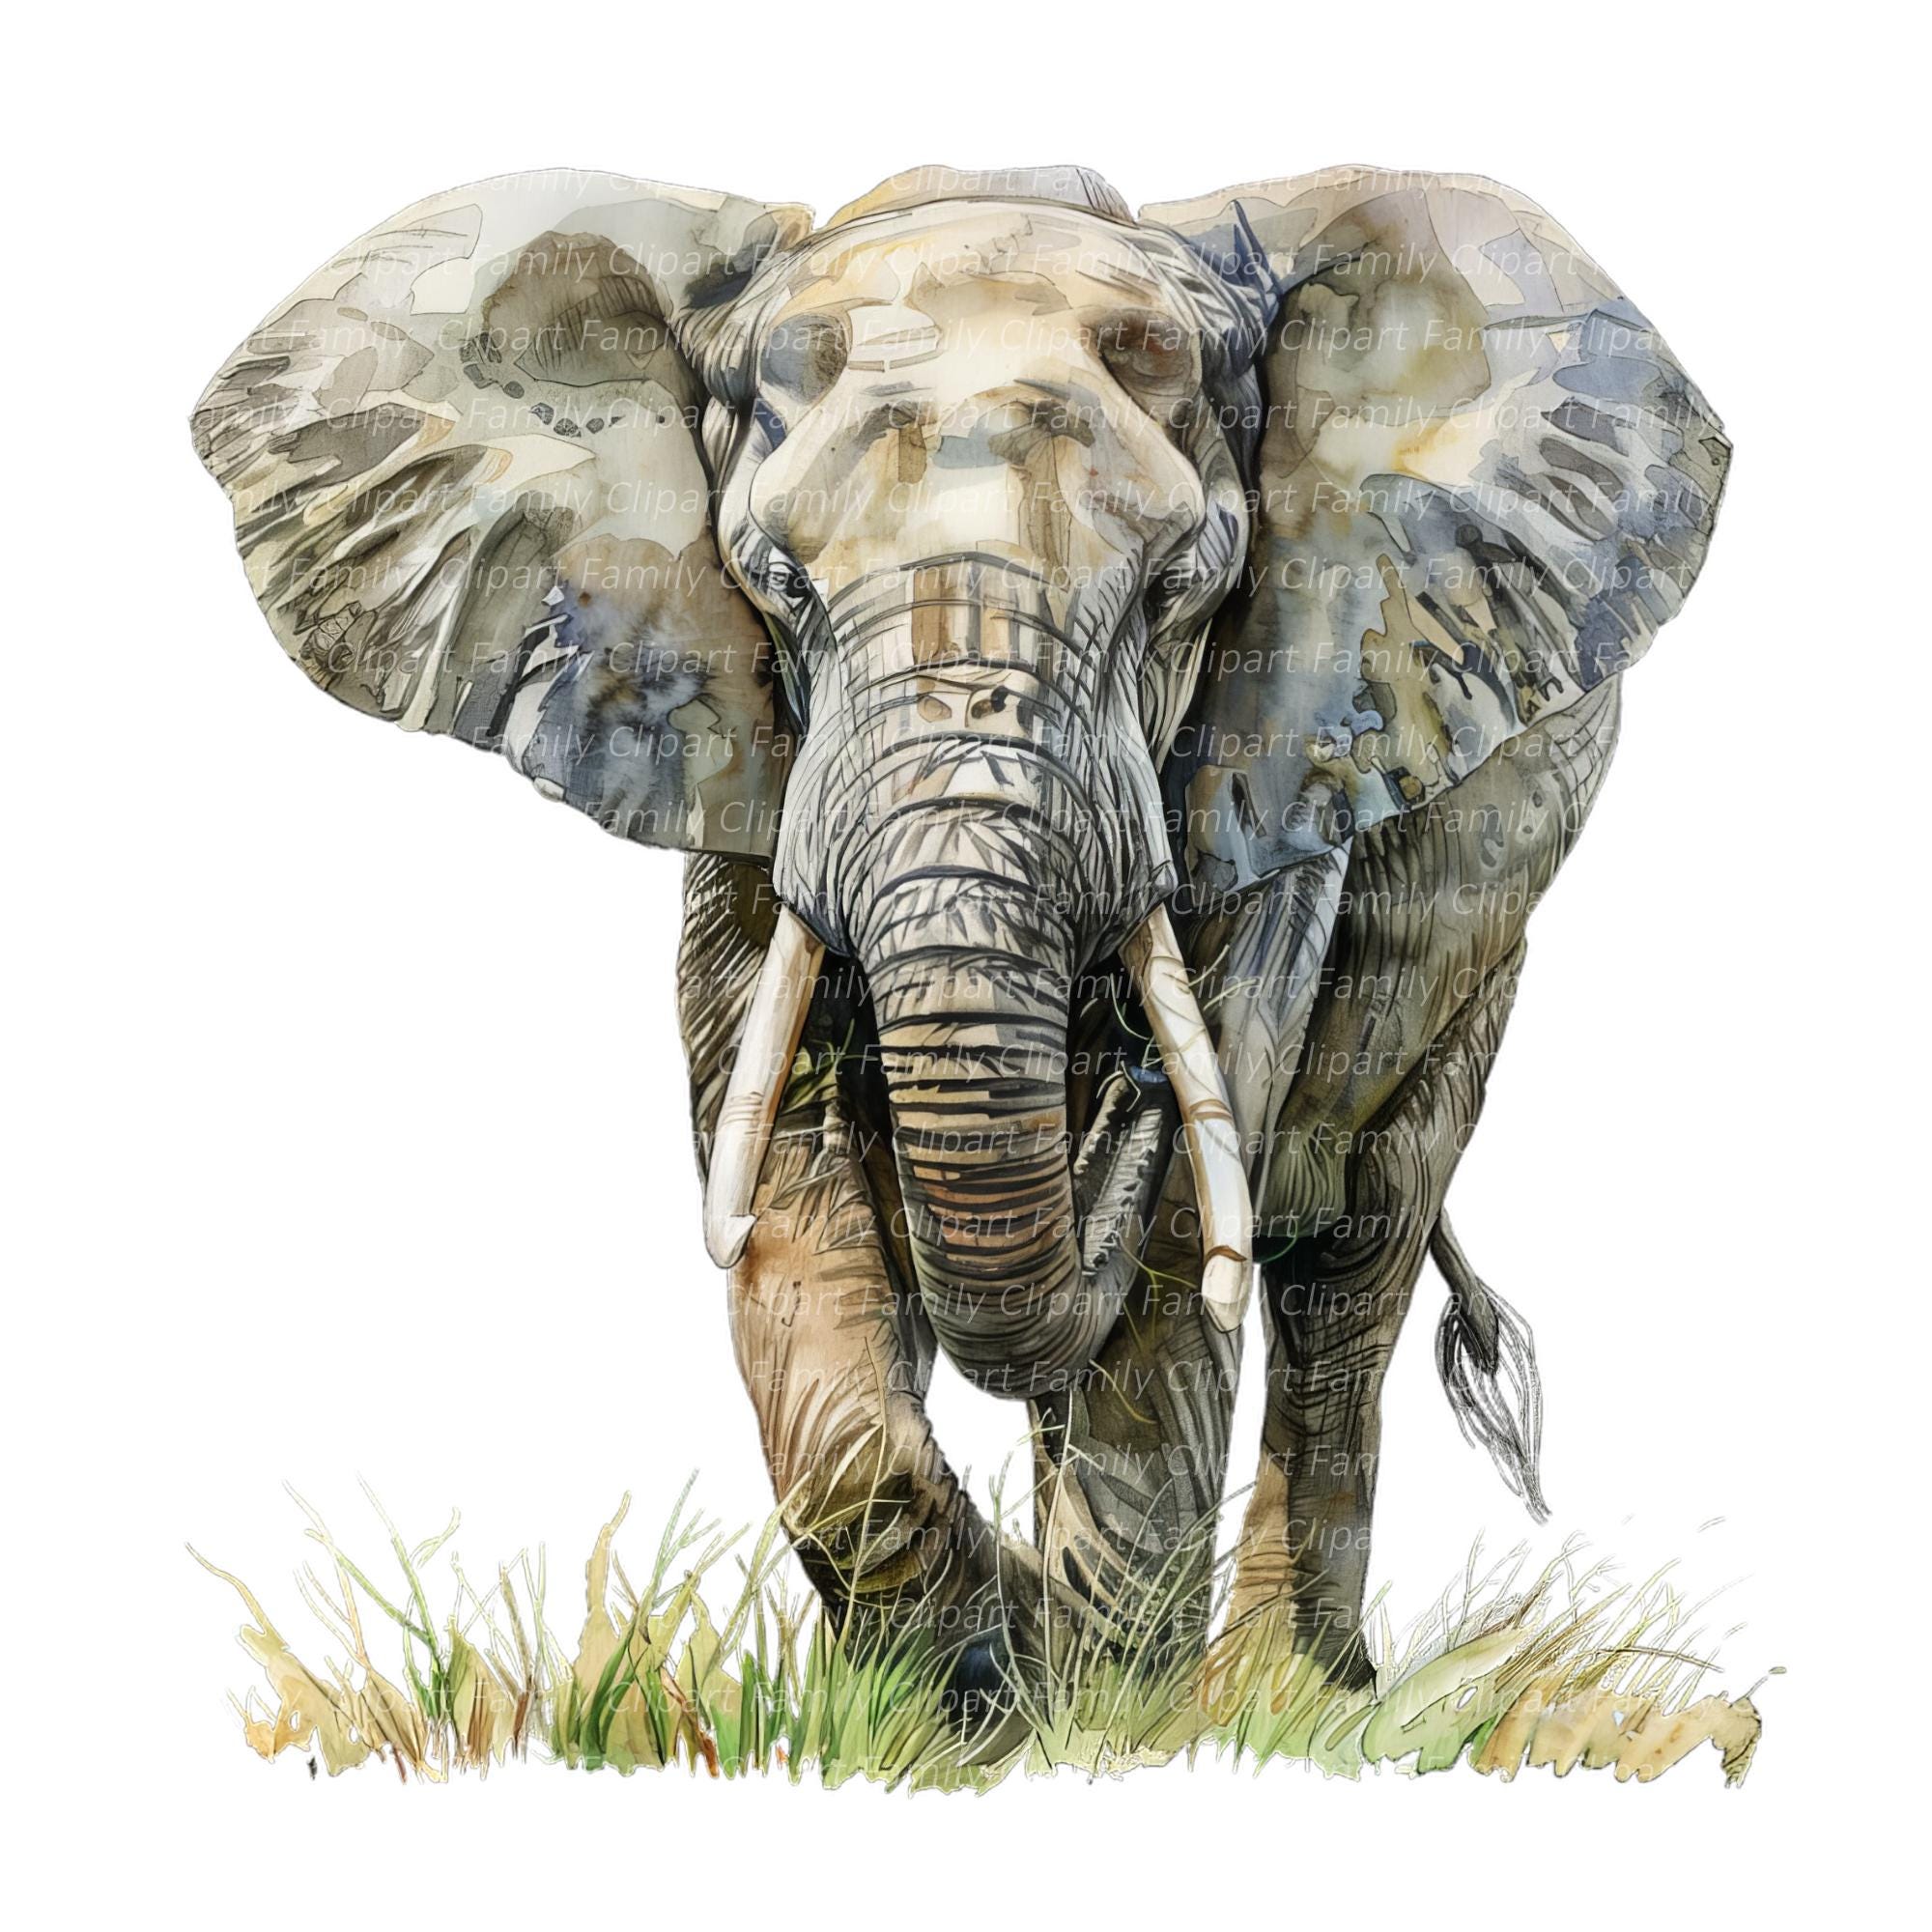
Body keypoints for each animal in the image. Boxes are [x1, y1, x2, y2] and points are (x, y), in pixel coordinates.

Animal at [194, 161, 1729, 1707]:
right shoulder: (758, 779)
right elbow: (781, 1166)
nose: (1117, 1077)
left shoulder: (1284, 735)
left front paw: (1104, 1719)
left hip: (1491, 909)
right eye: (779, 587)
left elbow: (1187, 1229)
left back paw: (1285, 1695)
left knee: (1351, 1249)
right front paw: (970, 1699)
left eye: (1175, 594)